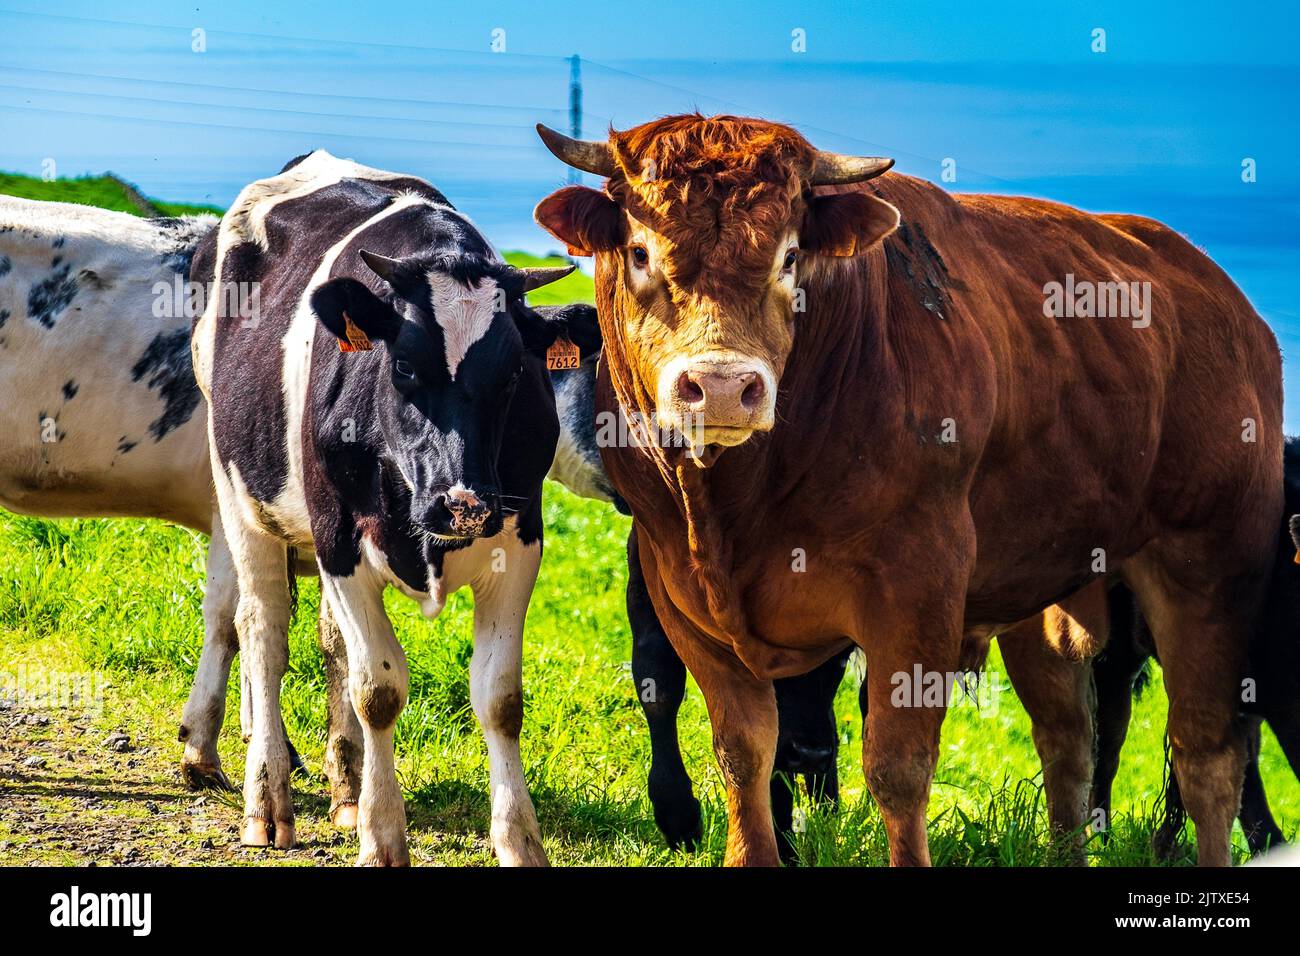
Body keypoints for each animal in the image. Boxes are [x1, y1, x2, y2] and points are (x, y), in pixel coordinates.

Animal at [190, 150, 594, 865]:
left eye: (514, 374)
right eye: (403, 365)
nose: (462, 503)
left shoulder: (520, 537)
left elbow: (500, 698)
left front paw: (519, 841)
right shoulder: (338, 539)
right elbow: (377, 690)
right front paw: (382, 838)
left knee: (329, 641)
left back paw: (347, 787)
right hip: (239, 491)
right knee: (261, 628)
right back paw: (268, 798)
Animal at [533, 114, 1284, 866]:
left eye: (789, 257)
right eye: (638, 251)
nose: (722, 387)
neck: (734, 504)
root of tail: (1225, 298)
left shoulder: (916, 592)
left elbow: (897, 769)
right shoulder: (680, 595)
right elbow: (742, 752)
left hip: (1207, 571)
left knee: (1206, 758)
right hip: (1047, 590)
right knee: (1069, 738)